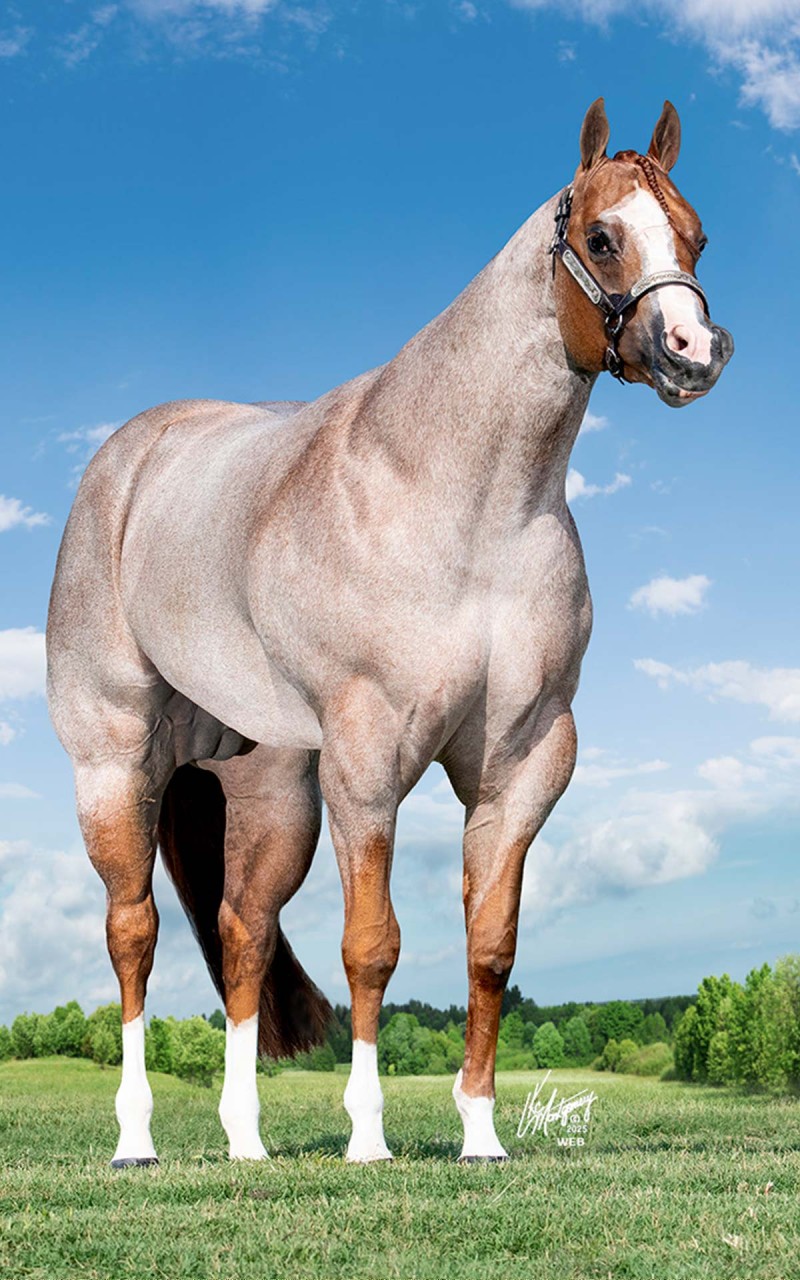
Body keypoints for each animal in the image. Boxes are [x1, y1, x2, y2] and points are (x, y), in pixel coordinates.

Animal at [46, 98, 733, 1166]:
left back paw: (245, 1142)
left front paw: (482, 1136)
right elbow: (372, 946)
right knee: (134, 933)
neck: (460, 504)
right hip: (115, 763)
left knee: (241, 932)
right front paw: (367, 1137)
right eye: (600, 236)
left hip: (274, 788)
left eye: (696, 236)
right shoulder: (370, 759)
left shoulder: (524, 760)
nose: (694, 350)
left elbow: (490, 946)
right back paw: (135, 1140)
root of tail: (130, 459)